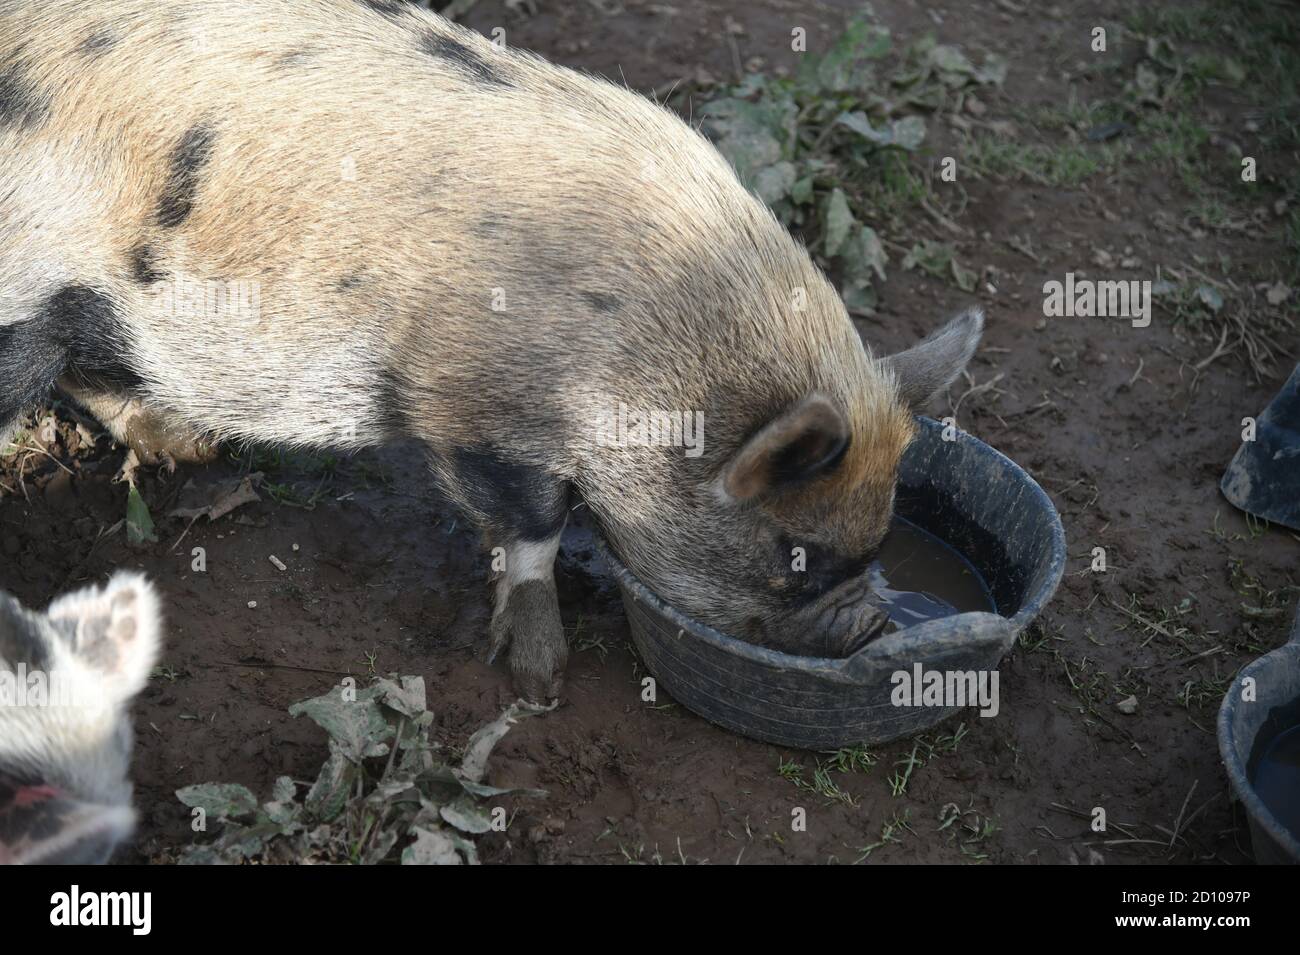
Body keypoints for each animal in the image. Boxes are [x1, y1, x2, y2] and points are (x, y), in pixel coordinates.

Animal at [0, 0, 982, 701]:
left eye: (876, 538)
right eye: (794, 553)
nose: (871, 628)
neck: (638, 354)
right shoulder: (472, 406)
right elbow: (532, 525)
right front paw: (542, 682)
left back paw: (193, 447)